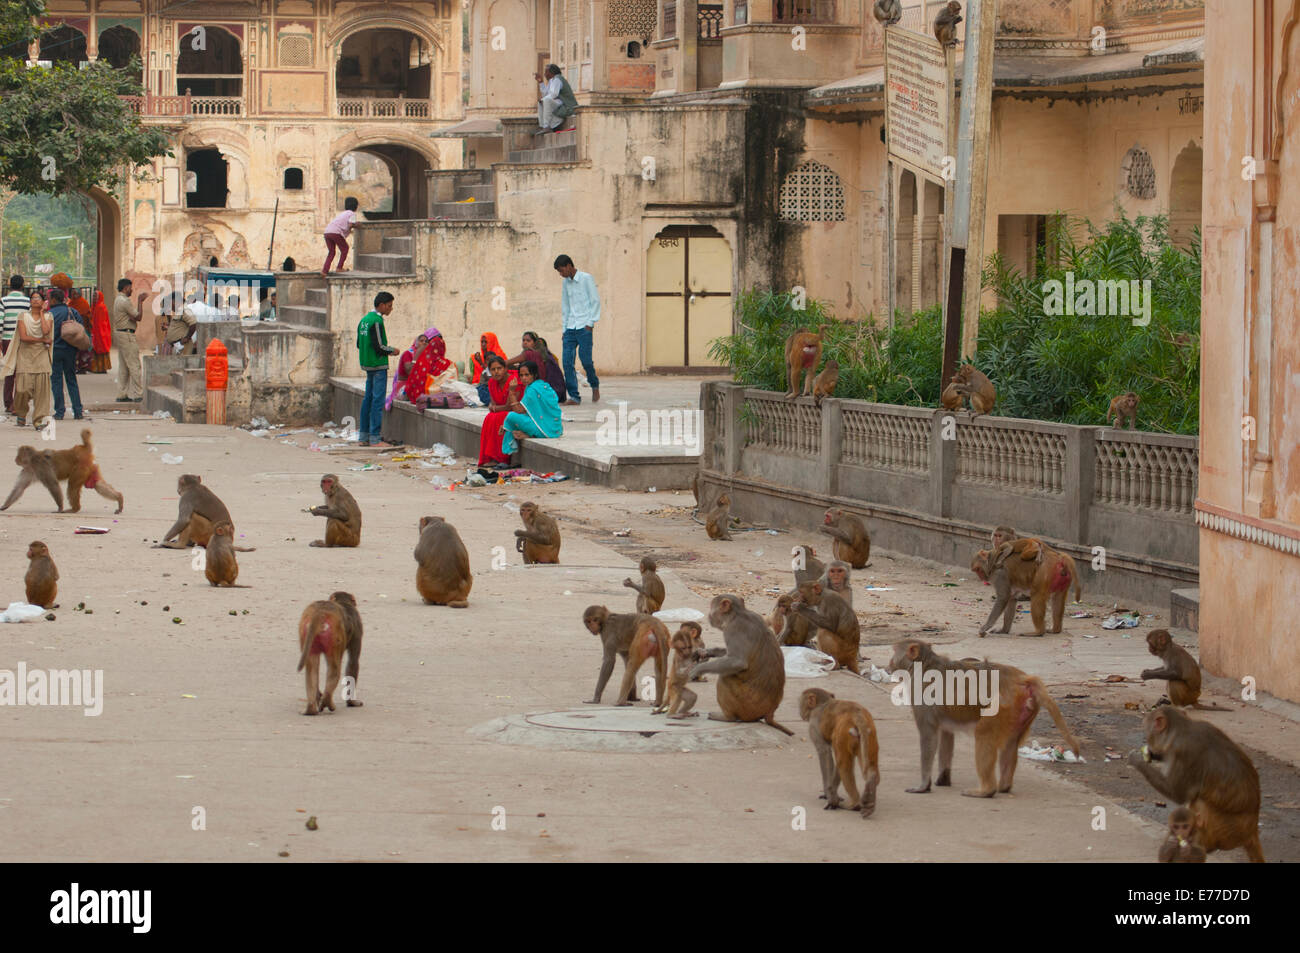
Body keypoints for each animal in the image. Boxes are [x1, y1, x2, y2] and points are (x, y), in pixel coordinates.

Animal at [691, 594, 793, 735]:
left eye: (712, 607)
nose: (709, 615)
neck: (736, 615)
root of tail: (770, 712)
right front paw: (706, 652)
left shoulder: (734, 629)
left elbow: (737, 662)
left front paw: (698, 669)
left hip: (748, 705)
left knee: (725, 678)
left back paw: (728, 717)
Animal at [800, 688, 880, 818]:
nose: (800, 712)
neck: (823, 703)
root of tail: (857, 713)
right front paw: (832, 794)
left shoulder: (813, 725)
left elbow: (825, 753)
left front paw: (828, 794)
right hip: (869, 732)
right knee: (865, 766)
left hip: (844, 733)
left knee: (844, 765)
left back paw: (853, 803)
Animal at [888, 639, 1080, 797]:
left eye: (894, 651)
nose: (889, 664)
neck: (923, 665)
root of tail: (1022, 678)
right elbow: (946, 735)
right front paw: (943, 779)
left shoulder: (921, 696)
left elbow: (929, 737)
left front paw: (923, 786)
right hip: (1020, 711)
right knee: (1010, 743)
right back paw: (1004, 787)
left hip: (1003, 705)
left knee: (983, 733)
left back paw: (986, 791)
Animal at [1128, 706, 1264, 862]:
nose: (1147, 741)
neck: (1178, 732)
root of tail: (1252, 831)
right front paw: (1152, 754)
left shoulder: (1183, 753)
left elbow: (1178, 794)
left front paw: (1137, 760)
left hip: (1229, 831)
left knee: (1201, 802)